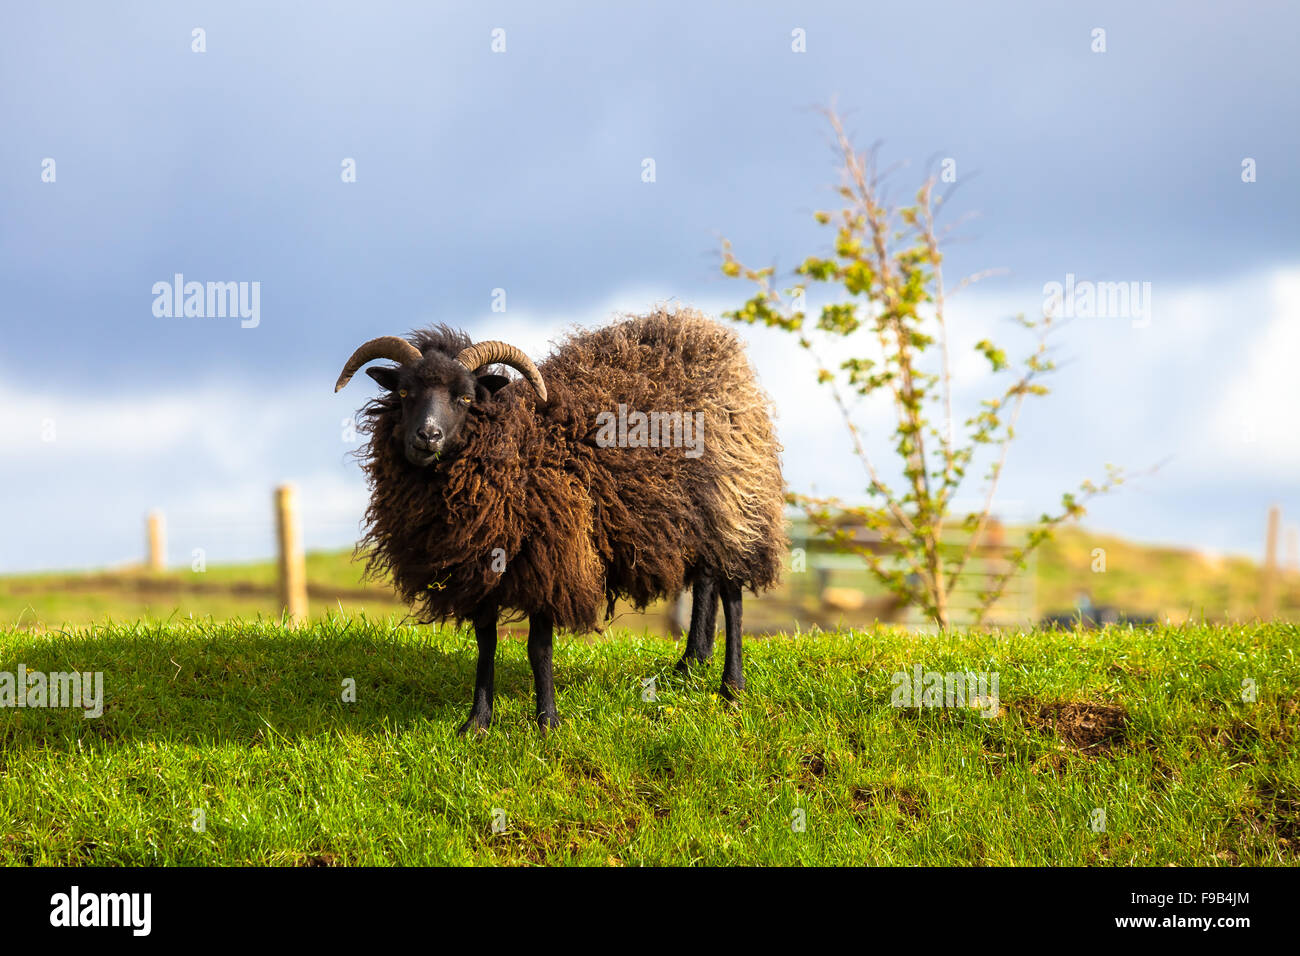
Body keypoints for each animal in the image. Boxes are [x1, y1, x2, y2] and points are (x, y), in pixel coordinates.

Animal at [335, 308, 786, 733]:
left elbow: (539, 648)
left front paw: (547, 721)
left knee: (731, 592)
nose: (427, 436)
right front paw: (477, 722)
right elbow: (486, 644)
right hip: (696, 519)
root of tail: (710, 339)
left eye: (465, 398)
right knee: (706, 580)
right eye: (405, 391)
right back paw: (692, 663)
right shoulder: (479, 567)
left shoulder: (550, 557)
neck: (518, 444)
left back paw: (731, 686)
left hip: (735, 504)